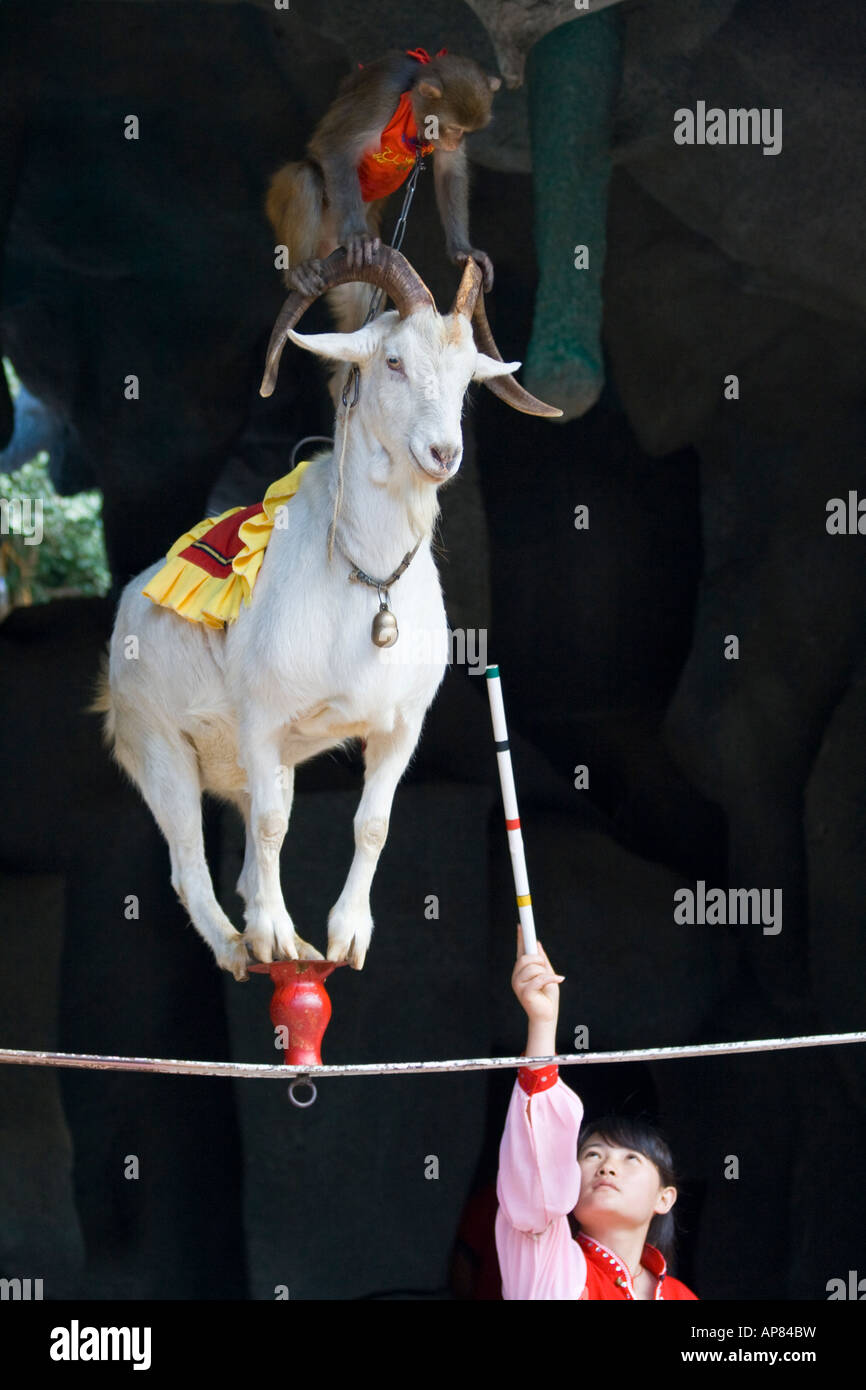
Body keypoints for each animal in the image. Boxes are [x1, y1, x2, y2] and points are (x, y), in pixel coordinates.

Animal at [96, 248, 560, 979]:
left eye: (467, 377)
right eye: (393, 361)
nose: (443, 454)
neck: (367, 581)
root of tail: (125, 613)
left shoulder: (398, 728)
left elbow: (371, 824)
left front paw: (345, 939)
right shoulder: (261, 721)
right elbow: (268, 829)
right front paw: (273, 938)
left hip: (260, 765)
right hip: (161, 746)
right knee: (189, 861)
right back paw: (241, 947)